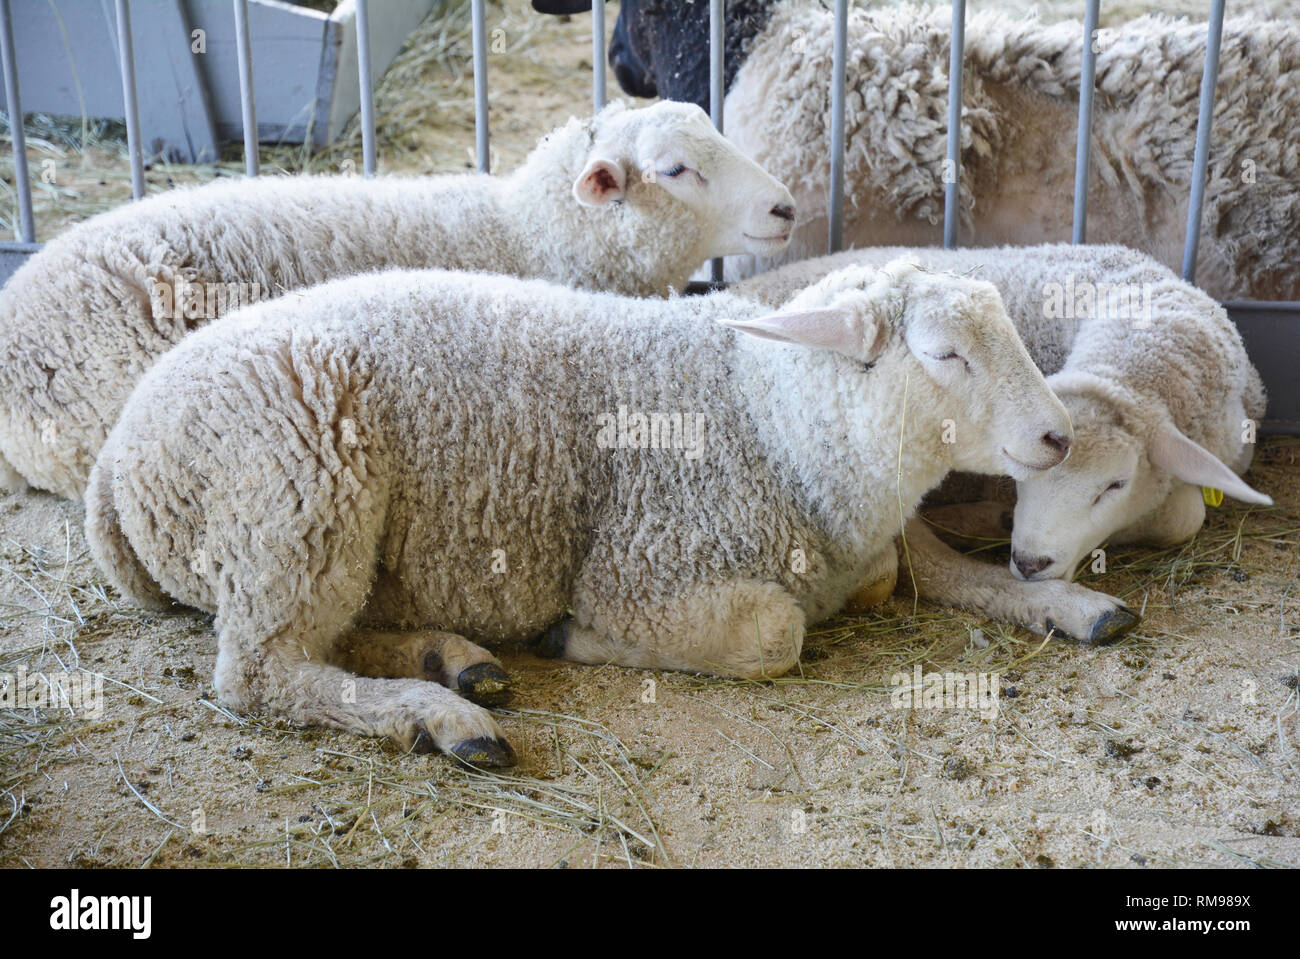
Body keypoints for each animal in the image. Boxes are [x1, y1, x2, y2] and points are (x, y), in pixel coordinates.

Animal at [85, 263, 1072, 764]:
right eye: (945, 354)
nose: (1059, 434)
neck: (767, 419)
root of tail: (116, 457)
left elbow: (868, 583)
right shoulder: (646, 563)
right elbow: (774, 634)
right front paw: (577, 636)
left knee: (327, 632)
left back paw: (457, 663)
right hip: (296, 494)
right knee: (259, 673)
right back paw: (442, 716)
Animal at [733, 242, 1273, 642]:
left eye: (1115, 484)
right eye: (1022, 480)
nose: (1031, 562)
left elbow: (1184, 514)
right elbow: (1186, 514)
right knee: (929, 566)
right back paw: (1076, 609)